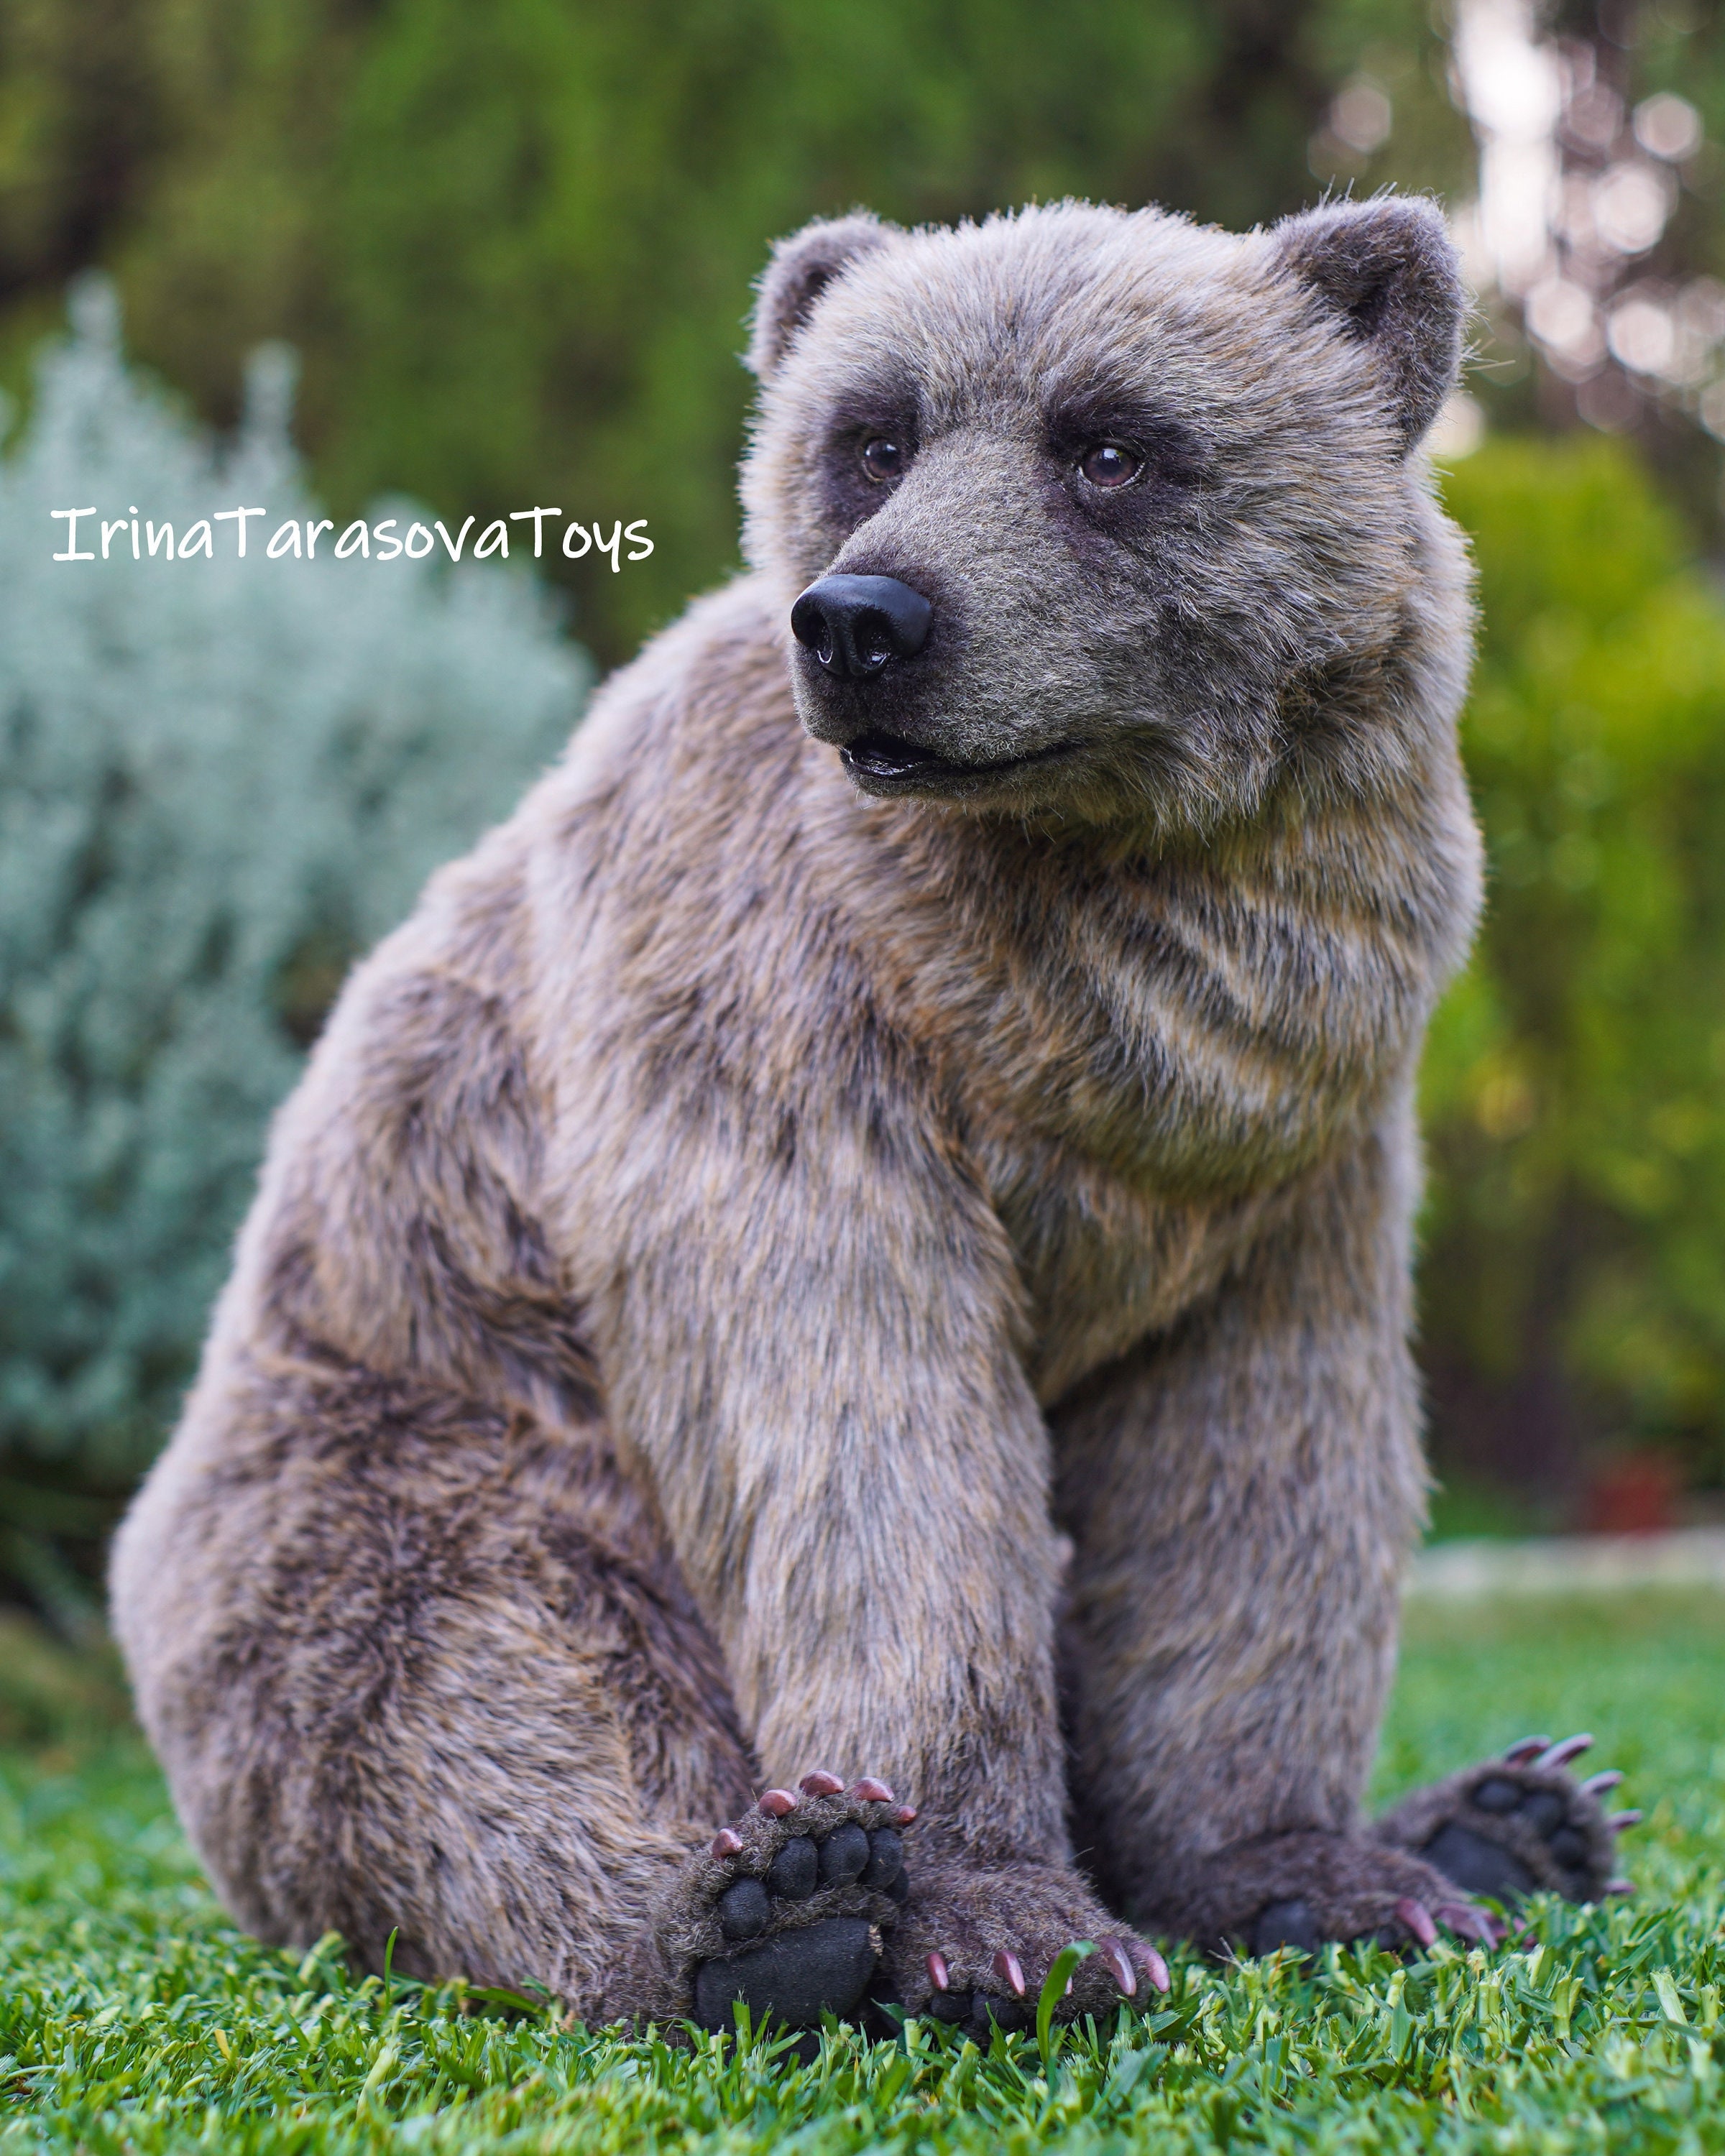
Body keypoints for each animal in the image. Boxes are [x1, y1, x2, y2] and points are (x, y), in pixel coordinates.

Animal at [109, 196, 1639, 2040]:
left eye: (1108, 444)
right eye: (875, 435)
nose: (865, 620)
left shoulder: (1291, 1158)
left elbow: (1257, 1474)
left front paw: (1311, 1871)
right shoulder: (771, 1014)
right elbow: (861, 1426)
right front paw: (995, 1917)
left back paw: (1512, 1814)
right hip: (418, 1450)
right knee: (495, 1690)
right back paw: (762, 1909)